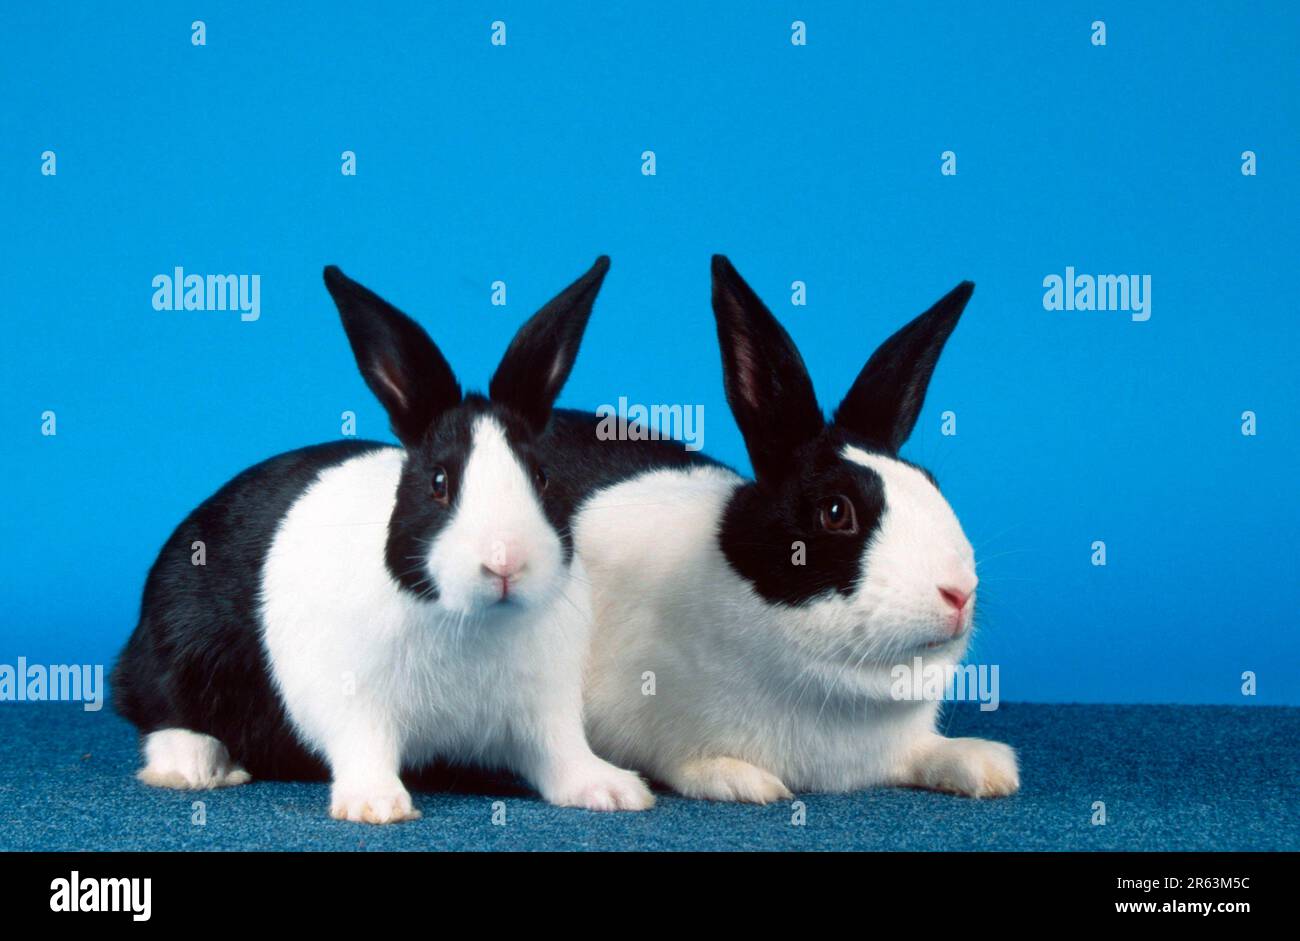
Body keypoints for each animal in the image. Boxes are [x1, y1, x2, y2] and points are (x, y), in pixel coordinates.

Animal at [111, 256, 655, 821]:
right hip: (178, 645)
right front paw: (376, 804)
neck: (471, 622)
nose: (505, 563)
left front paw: (613, 790)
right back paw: (194, 767)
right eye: (438, 482)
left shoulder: (546, 709)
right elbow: (363, 745)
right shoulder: (352, 699)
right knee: (156, 709)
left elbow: (563, 754)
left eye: (543, 477)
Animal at [564, 255, 1018, 803]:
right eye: (836, 511)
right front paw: (744, 781)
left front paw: (988, 767)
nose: (959, 594)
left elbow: (928, 754)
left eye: (930, 481)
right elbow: (682, 761)